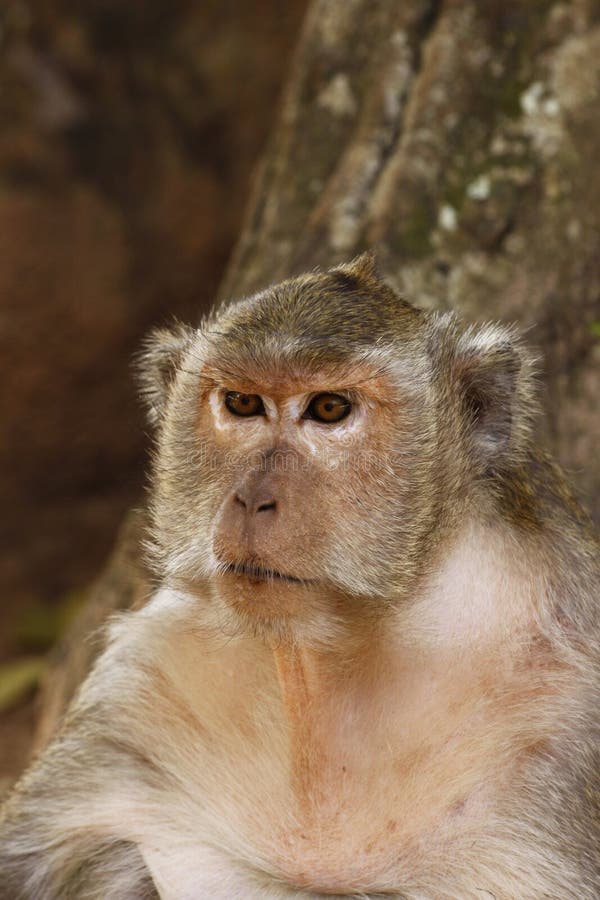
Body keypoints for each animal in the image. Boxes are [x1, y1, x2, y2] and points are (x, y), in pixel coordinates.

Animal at [0, 252, 599, 899]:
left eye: (329, 409)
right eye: (242, 404)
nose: (252, 499)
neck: (321, 665)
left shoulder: (565, 717)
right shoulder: (144, 678)